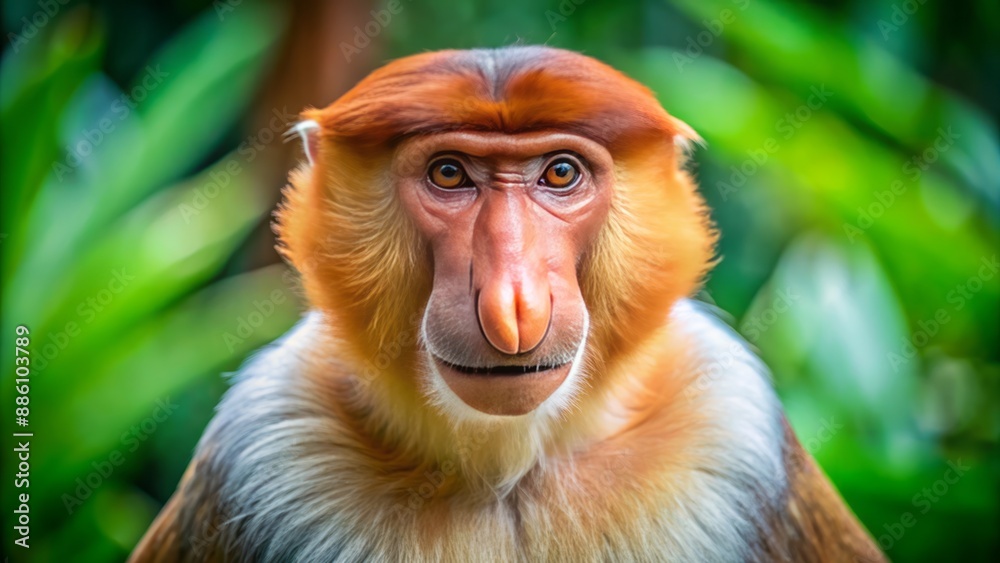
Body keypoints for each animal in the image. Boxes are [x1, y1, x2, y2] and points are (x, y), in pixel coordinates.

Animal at [130, 46, 884, 562]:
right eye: (448, 173)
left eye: (560, 172)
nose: (512, 303)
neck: (508, 474)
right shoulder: (262, 443)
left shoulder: (730, 423)